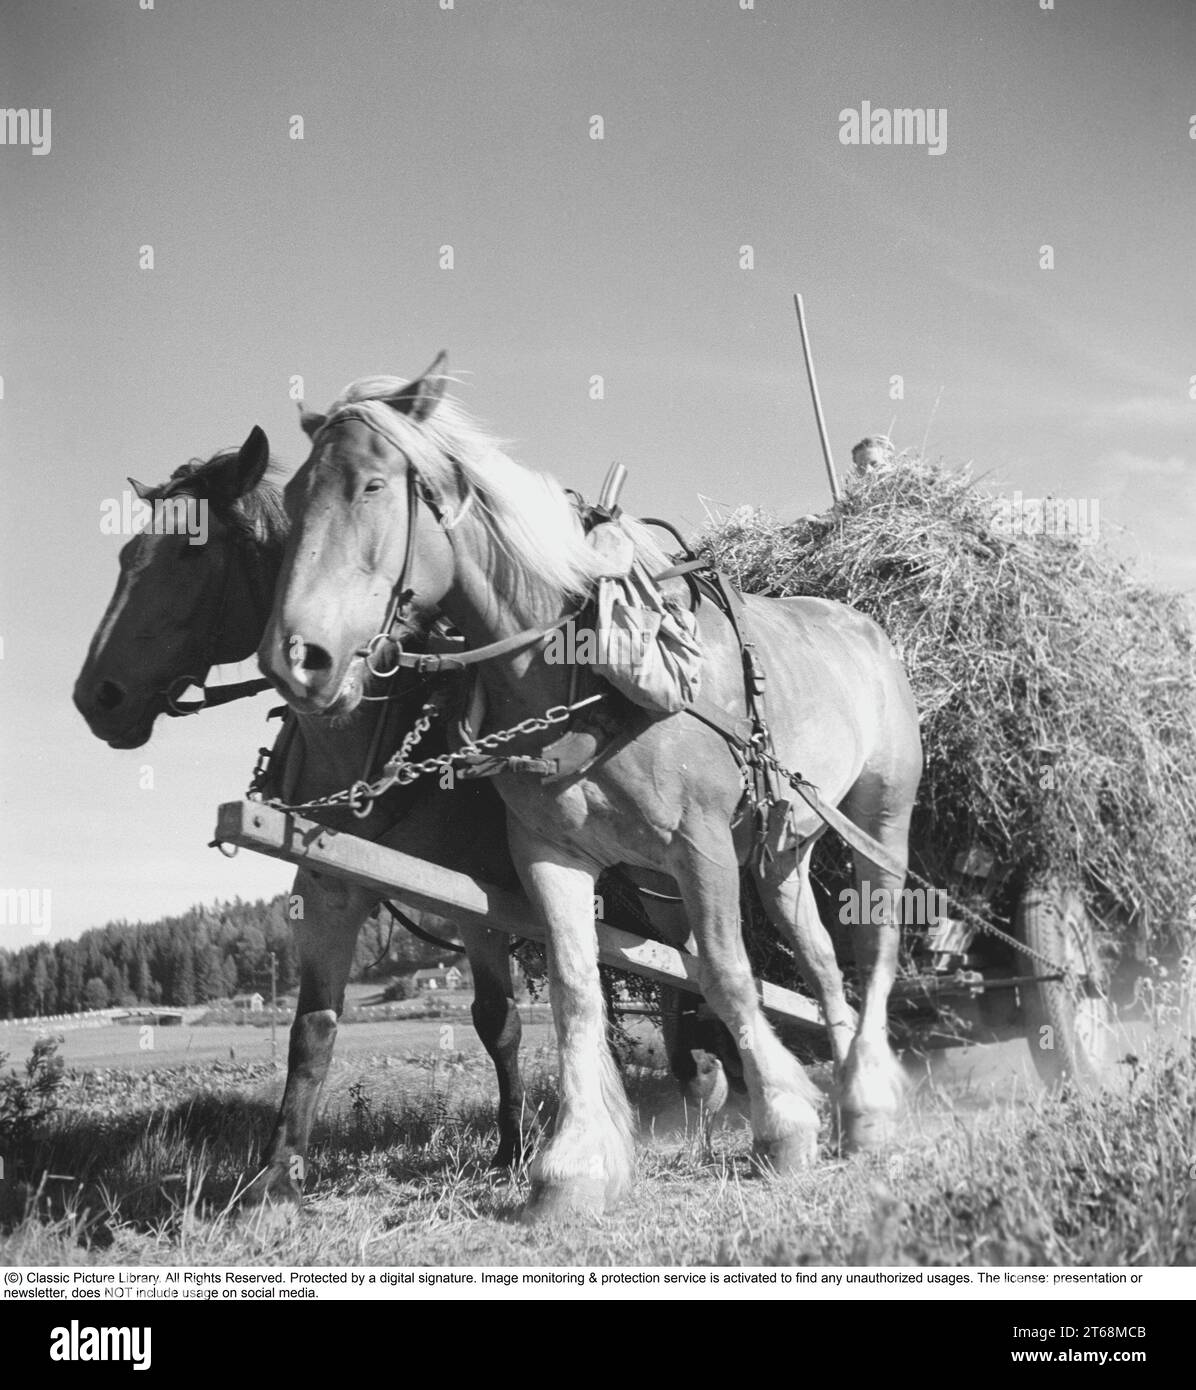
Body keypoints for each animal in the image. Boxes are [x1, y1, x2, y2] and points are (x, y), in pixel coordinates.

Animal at [73, 428, 540, 1201]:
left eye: (191, 551)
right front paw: (277, 1175)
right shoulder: (328, 885)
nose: (95, 696)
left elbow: (497, 1020)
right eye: (126, 554)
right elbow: (312, 1028)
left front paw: (515, 1148)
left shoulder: (479, 902)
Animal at [258, 358, 924, 1220]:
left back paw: (868, 1100)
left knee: (874, 951)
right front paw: (573, 1166)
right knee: (819, 961)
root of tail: (865, 625)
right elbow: (577, 992)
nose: (295, 658)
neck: (583, 665)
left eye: (372, 485)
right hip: (785, 847)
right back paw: (850, 1096)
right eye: (295, 492)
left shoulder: (700, 843)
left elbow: (726, 972)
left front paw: (782, 1128)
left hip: (880, 817)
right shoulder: (550, 854)